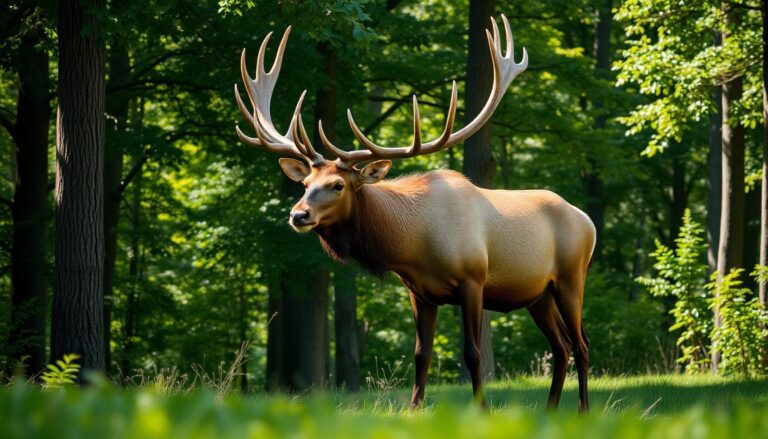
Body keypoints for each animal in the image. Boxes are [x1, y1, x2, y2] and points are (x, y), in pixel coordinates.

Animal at [234, 15, 596, 412]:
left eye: (338, 185)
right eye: (305, 183)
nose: (298, 215)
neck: (413, 244)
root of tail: (588, 219)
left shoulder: (473, 280)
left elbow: (473, 354)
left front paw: (482, 409)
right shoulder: (418, 292)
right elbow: (421, 354)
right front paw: (413, 409)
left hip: (571, 278)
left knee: (581, 345)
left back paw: (583, 410)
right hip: (538, 295)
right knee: (561, 347)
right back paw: (551, 409)